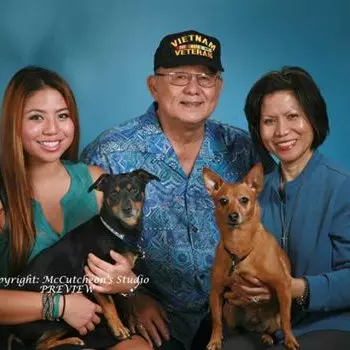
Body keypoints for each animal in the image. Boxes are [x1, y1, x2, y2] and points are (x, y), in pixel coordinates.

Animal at [6, 168, 159, 348]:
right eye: (113, 194)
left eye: (134, 190)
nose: (127, 209)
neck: (117, 231)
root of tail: (12, 331)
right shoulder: (95, 278)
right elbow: (109, 305)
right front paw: (119, 329)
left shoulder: (121, 276)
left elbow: (126, 301)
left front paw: (134, 322)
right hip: (60, 321)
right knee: (40, 345)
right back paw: (73, 340)